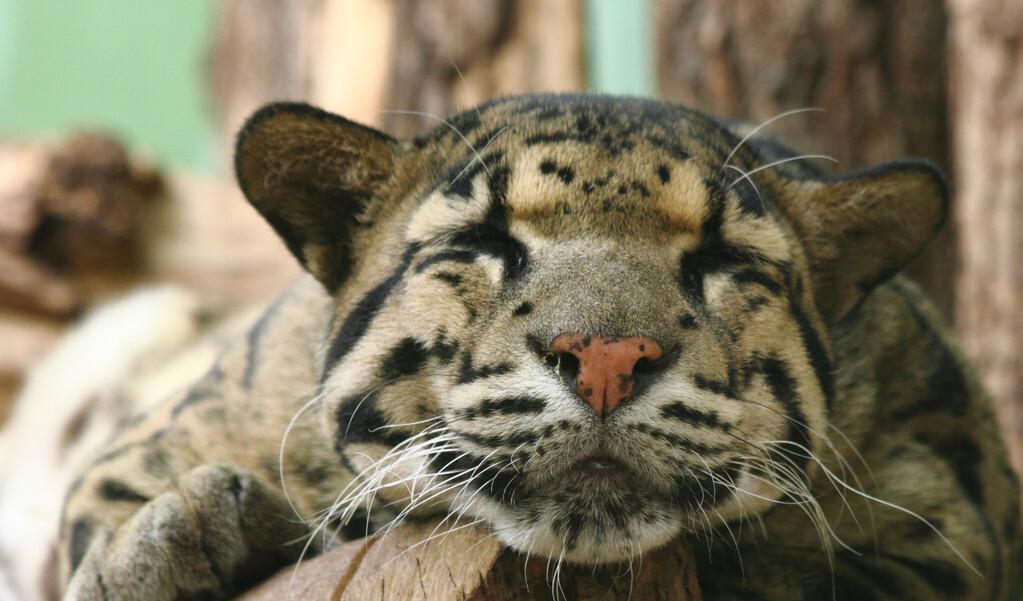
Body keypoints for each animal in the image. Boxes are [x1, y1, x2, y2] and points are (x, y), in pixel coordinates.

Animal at [58, 94, 1021, 600]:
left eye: (722, 261)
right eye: (482, 242)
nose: (606, 359)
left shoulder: (945, 517)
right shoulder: (176, 426)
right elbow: (100, 509)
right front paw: (170, 538)